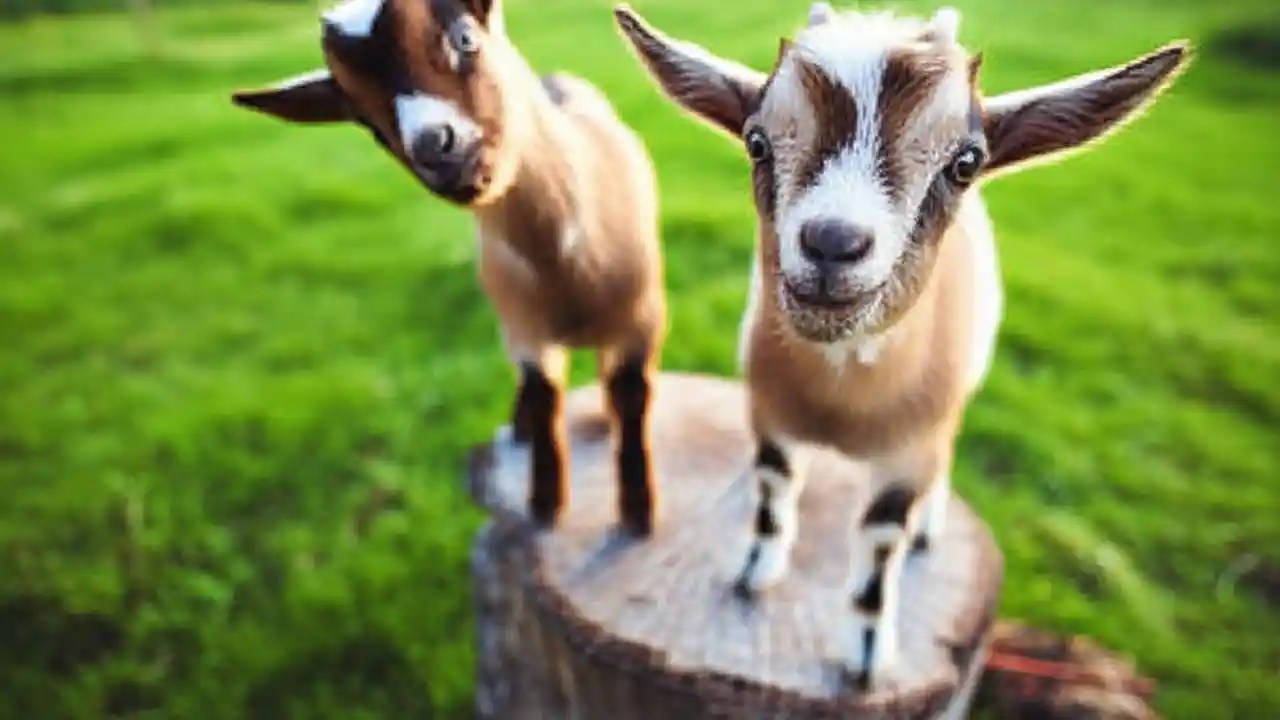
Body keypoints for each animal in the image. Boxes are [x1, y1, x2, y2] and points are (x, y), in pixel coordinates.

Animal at [233, 0, 667, 536]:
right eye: (362, 117)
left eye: (464, 38)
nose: (434, 148)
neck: (563, 263)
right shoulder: (522, 331)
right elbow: (543, 398)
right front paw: (545, 503)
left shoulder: (643, 321)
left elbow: (631, 399)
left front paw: (638, 513)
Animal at [616, 1, 1187, 687]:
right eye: (756, 141)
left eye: (966, 162)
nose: (833, 244)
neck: (841, 403)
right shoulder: (769, 411)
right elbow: (774, 488)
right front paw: (756, 571)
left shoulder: (911, 449)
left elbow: (880, 541)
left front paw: (865, 656)